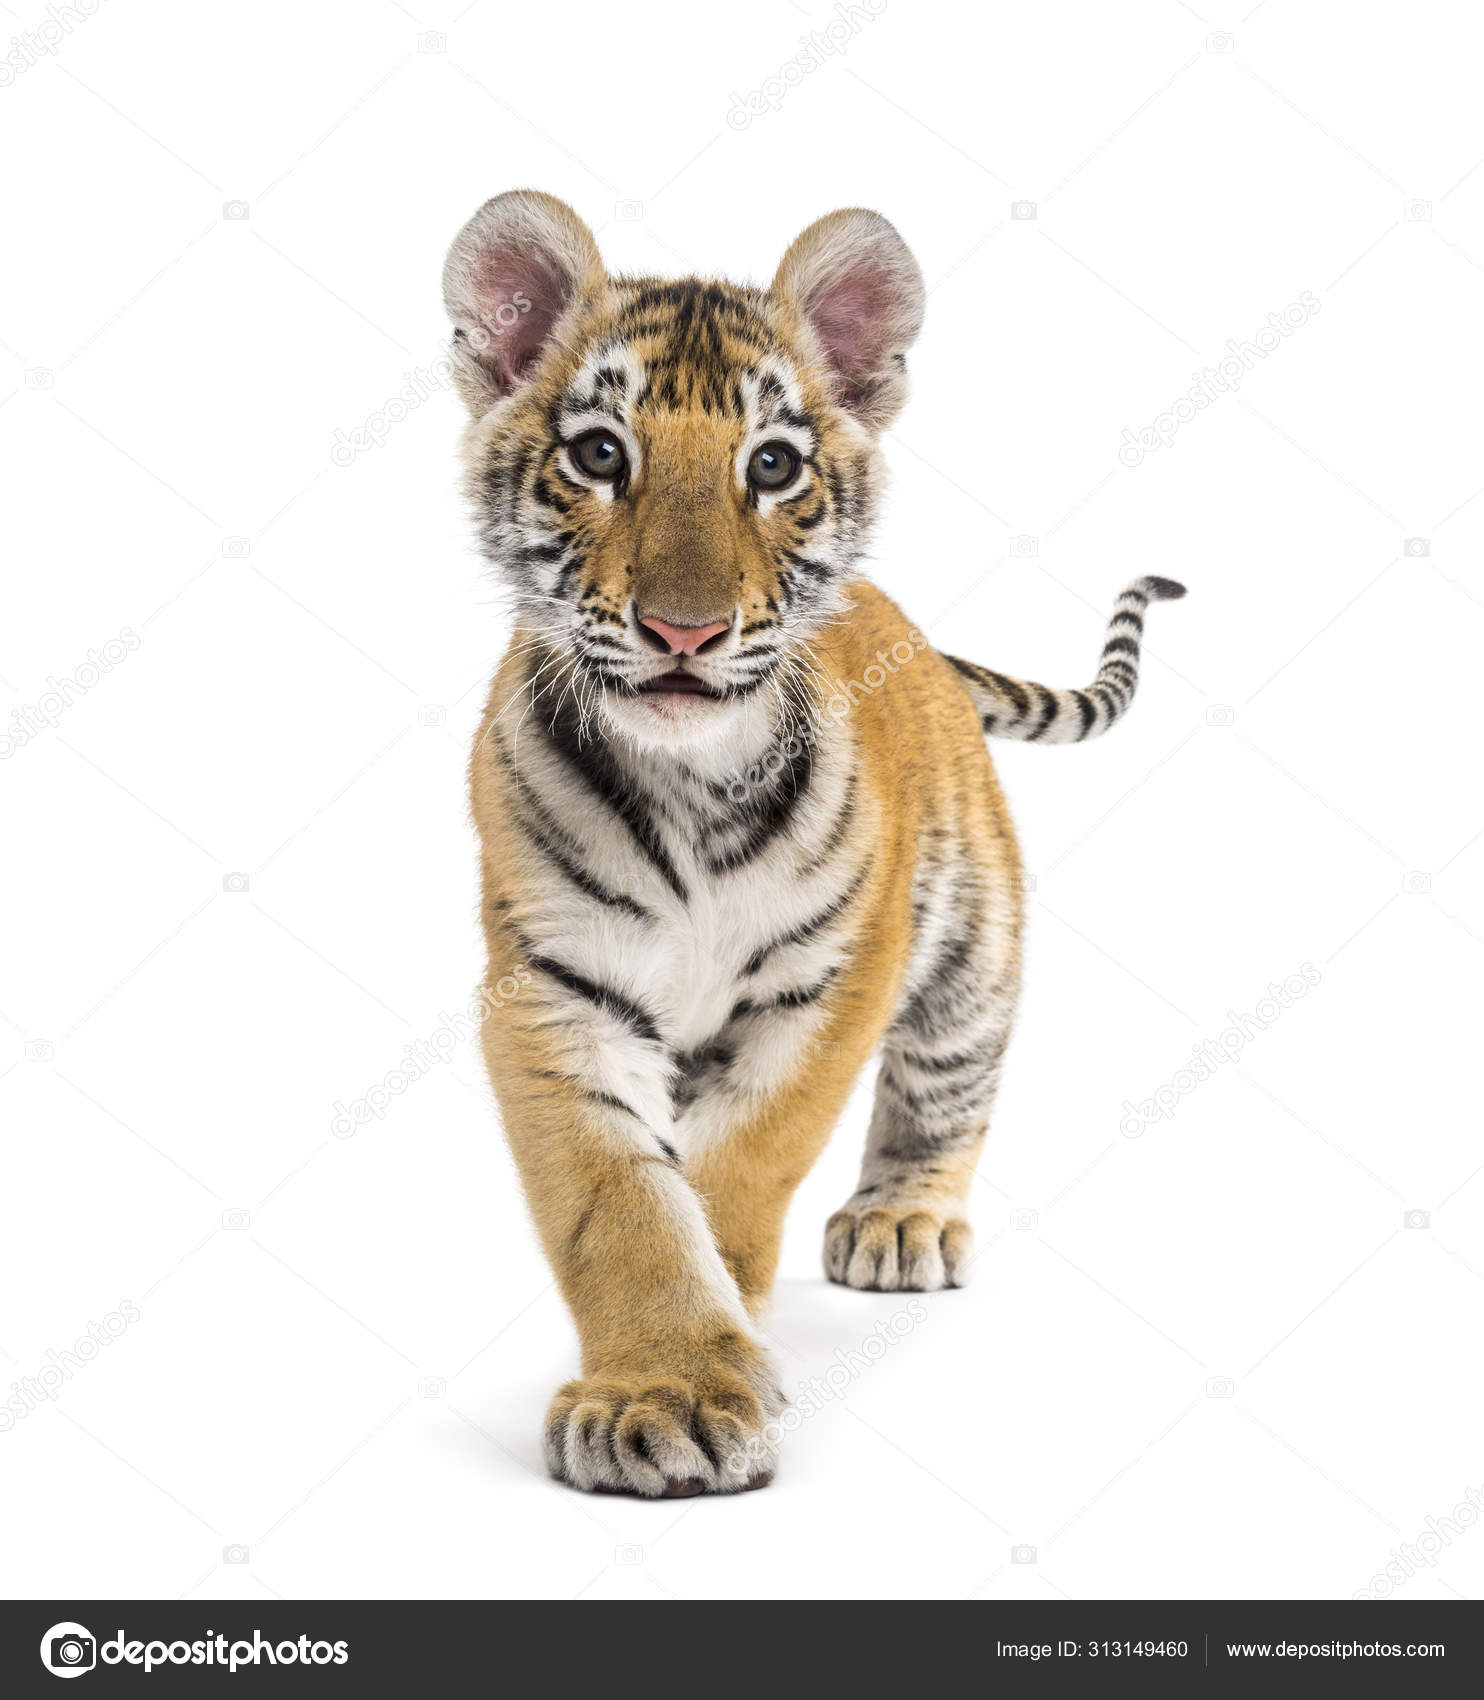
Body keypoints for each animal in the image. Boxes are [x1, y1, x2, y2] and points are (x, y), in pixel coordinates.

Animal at [443, 191, 1185, 1498]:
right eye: (600, 455)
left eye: (772, 465)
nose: (684, 630)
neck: (685, 782)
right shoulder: (550, 989)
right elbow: (615, 1198)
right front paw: (661, 1387)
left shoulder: (837, 973)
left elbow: (745, 1155)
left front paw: (716, 1336)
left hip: (971, 951)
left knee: (949, 1088)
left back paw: (899, 1222)